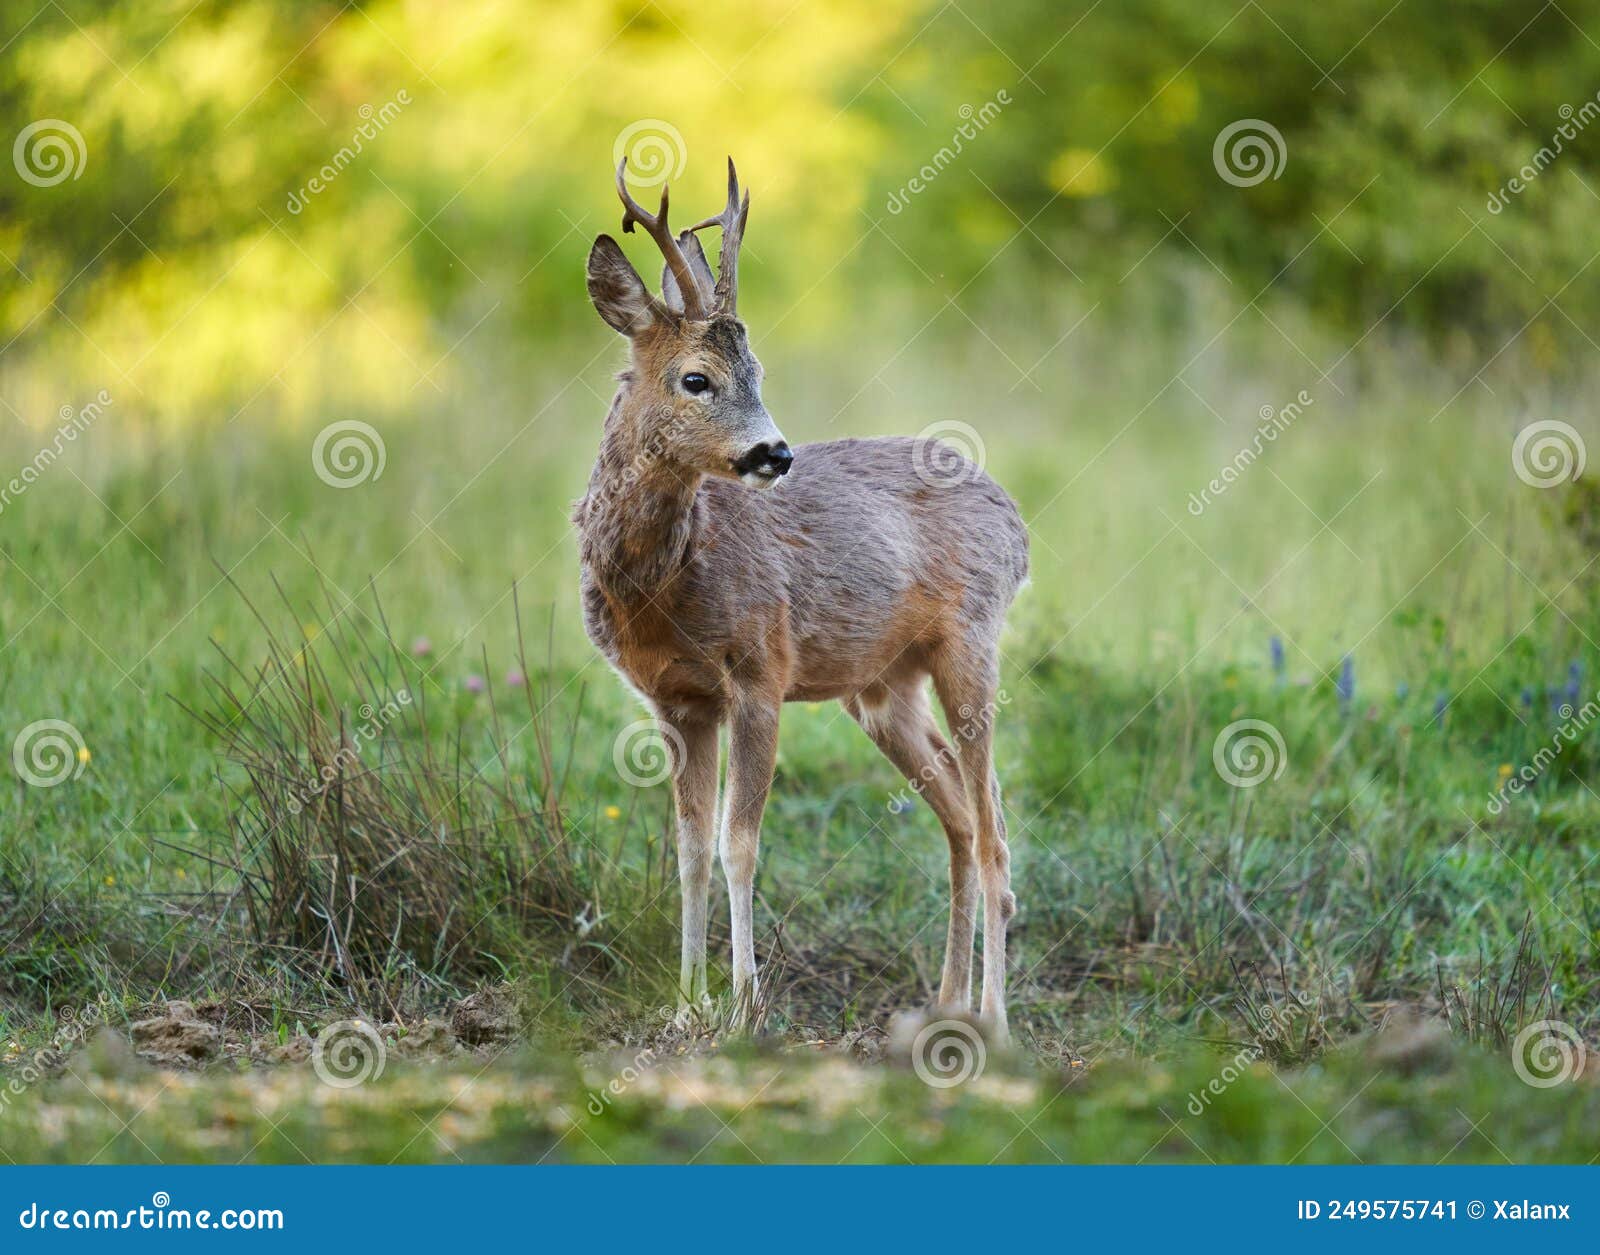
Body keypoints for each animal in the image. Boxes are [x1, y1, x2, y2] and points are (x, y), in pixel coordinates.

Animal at [574, 156, 1029, 1040]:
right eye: (697, 378)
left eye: (760, 375)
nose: (774, 453)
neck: (665, 589)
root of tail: (1014, 519)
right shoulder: (675, 700)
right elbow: (688, 846)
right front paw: (687, 1005)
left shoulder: (759, 672)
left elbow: (738, 841)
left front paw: (745, 1004)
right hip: (882, 688)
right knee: (959, 816)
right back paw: (944, 1001)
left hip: (970, 644)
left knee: (993, 827)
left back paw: (991, 1019)